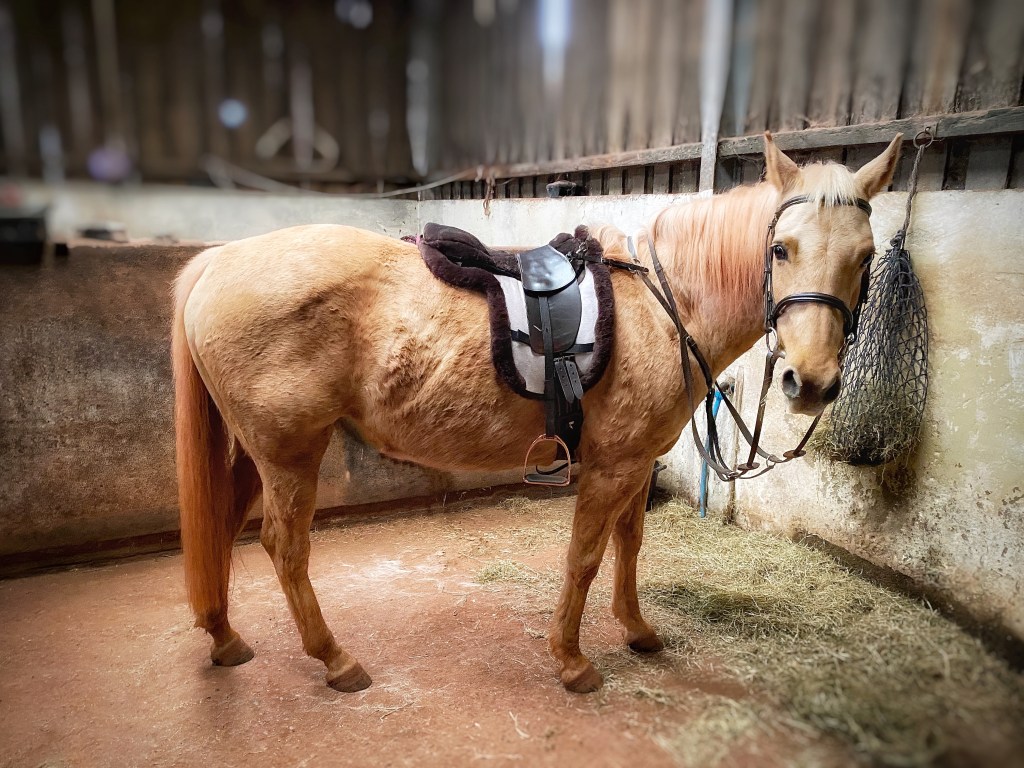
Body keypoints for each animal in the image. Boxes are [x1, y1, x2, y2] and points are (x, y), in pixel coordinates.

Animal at [172, 133, 902, 693]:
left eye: (865, 257)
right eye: (781, 249)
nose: (809, 382)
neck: (662, 308)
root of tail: (218, 261)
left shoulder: (636, 463)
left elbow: (630, 545)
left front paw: (637, 630)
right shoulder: (610, 468)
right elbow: (585, 555)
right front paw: (572, 662)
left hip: (255, 453)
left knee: (222, 527)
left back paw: (225, 637)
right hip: (291, 453)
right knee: (284, 548)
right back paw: (336, 660)